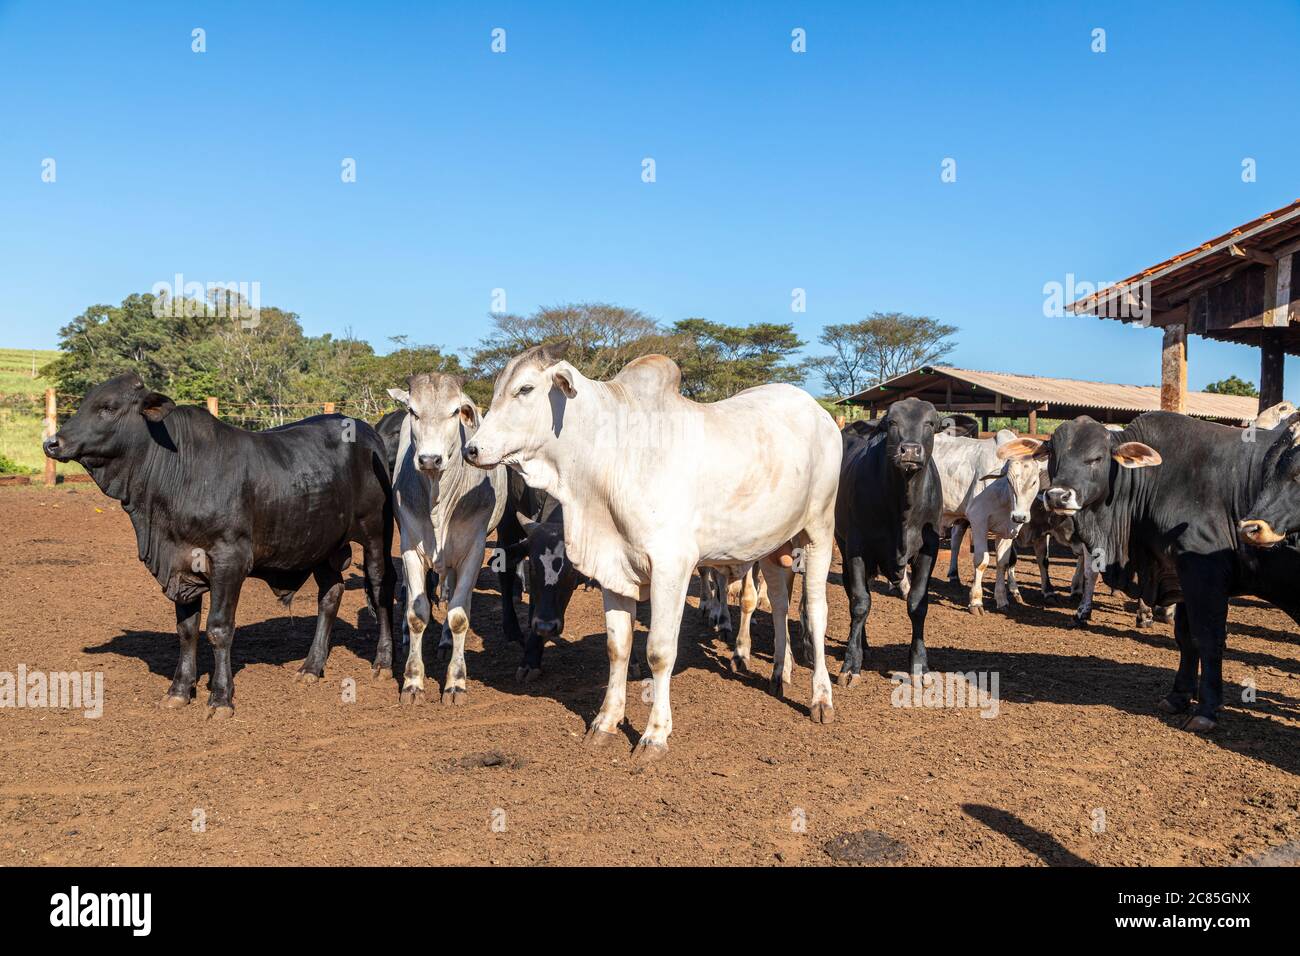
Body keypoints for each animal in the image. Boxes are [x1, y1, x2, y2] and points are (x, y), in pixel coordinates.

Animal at [42, 373, 396, 717]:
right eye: (85, 402)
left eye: (109, 407)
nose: (52, 443)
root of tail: (366, 430)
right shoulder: (180, 566)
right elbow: (187, 630)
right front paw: (179, 692)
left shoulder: (230, 560)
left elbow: (219, 628)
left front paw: (221, 698)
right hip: (322, 546)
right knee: (330, 595)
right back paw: (311, 667)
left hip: (376, 534)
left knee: (380, 588)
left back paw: (383, 663)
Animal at [387, 374, 507, 706]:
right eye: (413, 410)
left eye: (455, 411)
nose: (430, 458)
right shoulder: (410, 547)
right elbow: (417, 612)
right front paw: (413, 682)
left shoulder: (473, 551)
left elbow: (458, 616)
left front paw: (456, 682)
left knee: (451, 592)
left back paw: (444, 643)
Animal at [463, 343, 841, 761]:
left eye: (526, 389)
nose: (471, 449)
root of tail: (818, 410)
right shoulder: (614, 569)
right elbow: (617, 646)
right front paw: (605, 722)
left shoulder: (671, 568)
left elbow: (659, 651)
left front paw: (655, 735)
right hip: (774, 545)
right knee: (777, 603)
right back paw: (778, 672)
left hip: (819, 529)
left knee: (814, 611)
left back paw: (820, 698)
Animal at [834, 399, 943, 684]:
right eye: (891, 422)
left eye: (931, 423)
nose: (910, 450)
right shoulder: (857, 547)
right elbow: (860, 603)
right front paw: (851, 664)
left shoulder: (929, 548)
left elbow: (918, 604)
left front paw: (919, 666)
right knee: (853, 593)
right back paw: (863, 645)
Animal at [998, 411, 1300, 731]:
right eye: (1053, 453)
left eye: (1097, 457)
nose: (1057, 496)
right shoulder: (1180, 576)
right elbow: (1186, 638)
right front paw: (1178, 697)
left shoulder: (1203, 575)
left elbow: (1208, 639)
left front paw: (1206, 709)